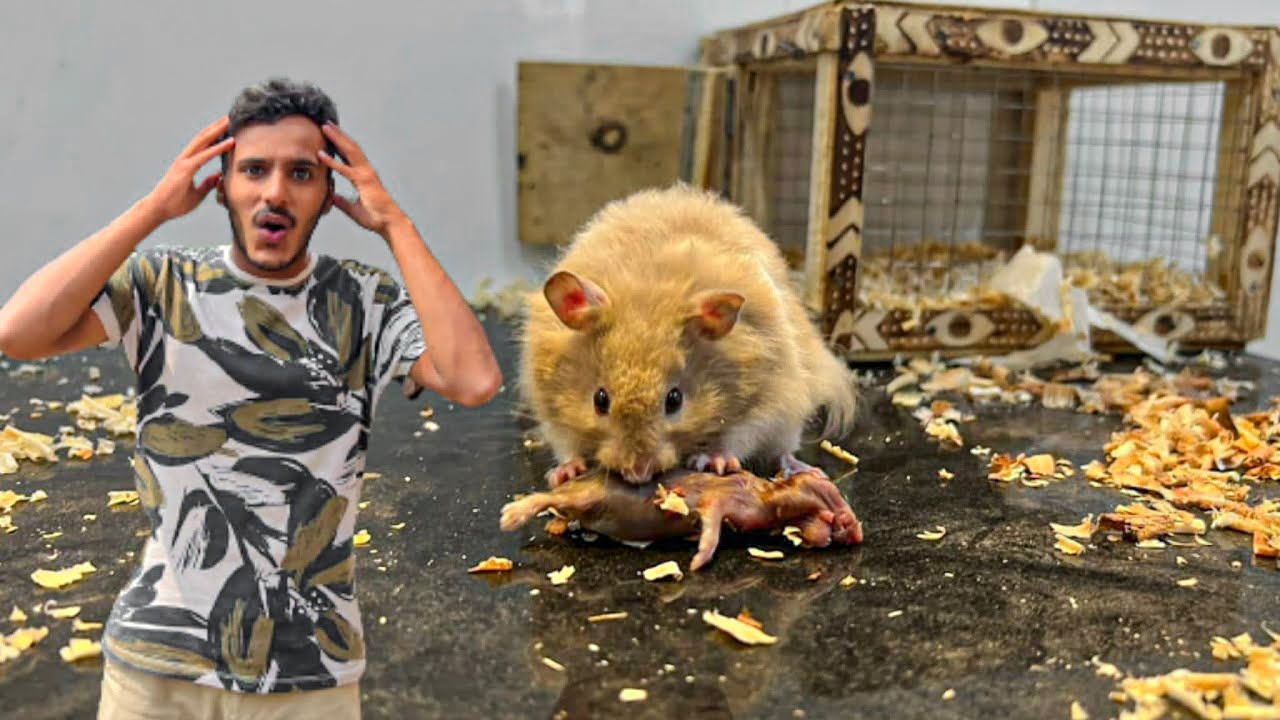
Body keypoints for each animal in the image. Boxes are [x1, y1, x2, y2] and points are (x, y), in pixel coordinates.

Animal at [517, 183, 858, 487]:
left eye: (674, 400)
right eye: (599, 399)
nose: (637, 474)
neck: (648, 293)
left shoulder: (764, 403)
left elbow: (734, 436)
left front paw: (714, 461)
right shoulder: (551, 408)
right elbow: (566, 444)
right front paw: (563, 473)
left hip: (791, 412)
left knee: (785, 450)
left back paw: (808, 471)